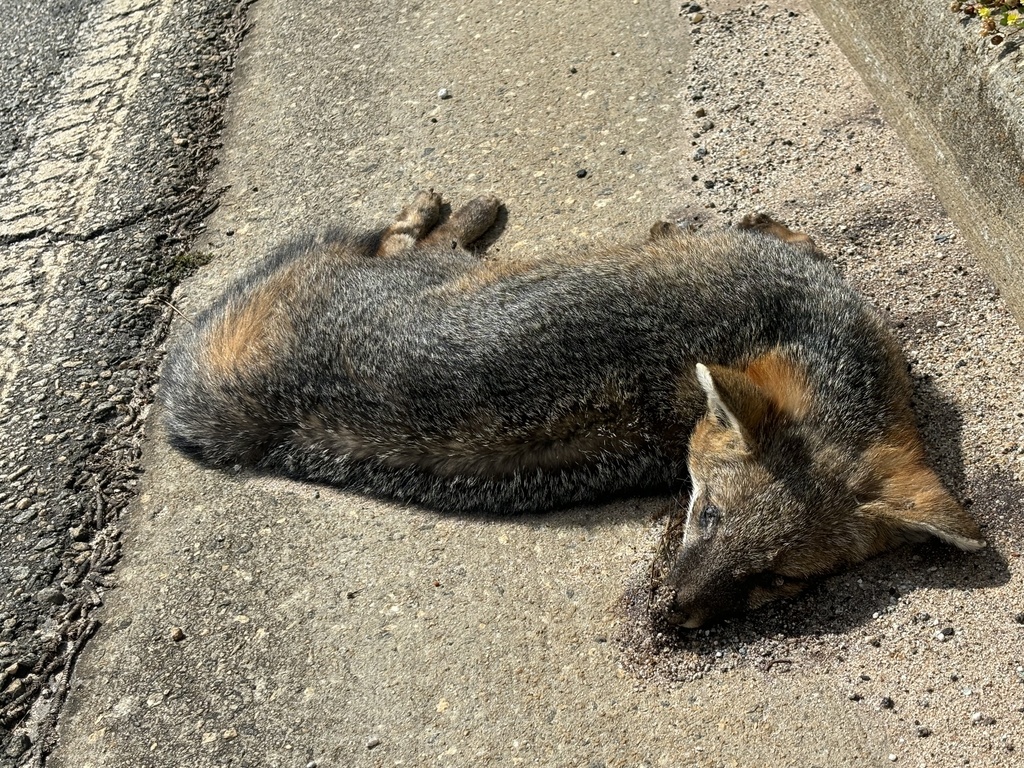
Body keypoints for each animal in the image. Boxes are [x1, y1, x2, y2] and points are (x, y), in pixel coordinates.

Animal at [160, 190, 986, 628]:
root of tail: (254, 412)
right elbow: (771, 237)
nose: (668, 613)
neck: (789, 328)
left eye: (777, 581)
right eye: (704, 514)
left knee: (395, 242)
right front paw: (769, 227)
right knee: (391, 240)